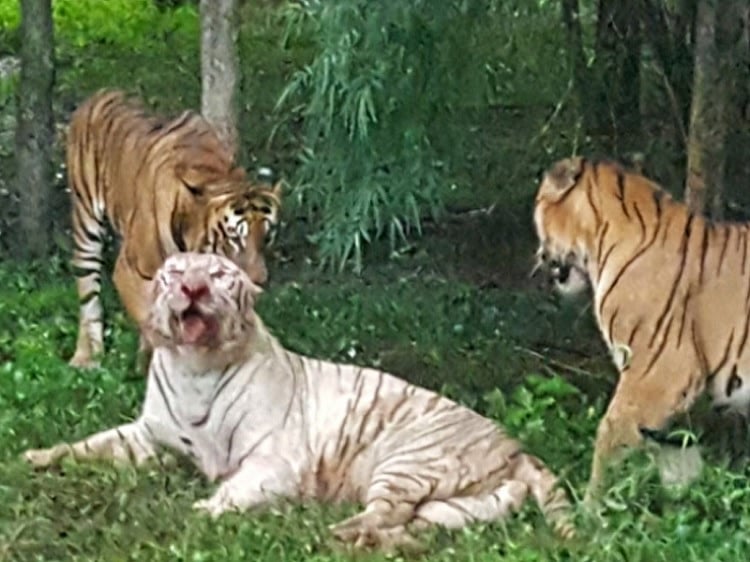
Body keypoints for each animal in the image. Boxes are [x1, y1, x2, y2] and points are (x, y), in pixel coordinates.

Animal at [24, 252, 575, 551]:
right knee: (406, 527)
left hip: (407, 461)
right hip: (457, 507)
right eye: (175, 272)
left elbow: (232, 492)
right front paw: (36, 456)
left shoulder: (273, 461)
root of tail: (517, 448)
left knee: (382, 512)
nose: (193, 287)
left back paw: (332, 531)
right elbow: (90, 443)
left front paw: (200, 511)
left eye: (218, 275)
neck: (194, 368)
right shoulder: (146, 436)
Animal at [66, 89, 282, 369]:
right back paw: (86, 356)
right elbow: (152, 322)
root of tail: (98, 95)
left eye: (267, 236)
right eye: (235, 238)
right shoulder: (129, 271)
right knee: (87, 290)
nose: (259, 281)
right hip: (86, 221)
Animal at [533, 156, 750, 505]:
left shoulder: (659, 373)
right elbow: (673, 451)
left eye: (539, 203)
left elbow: (609, 435)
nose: (540, 254)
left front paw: (593, 509)